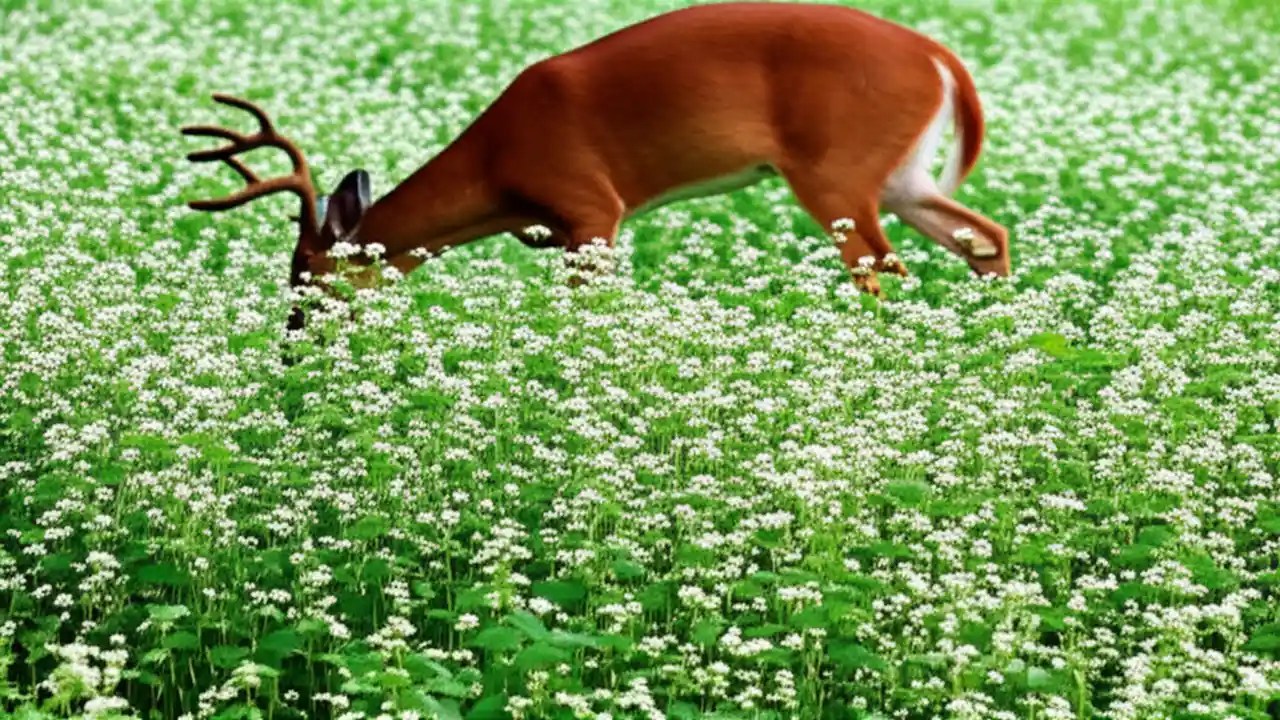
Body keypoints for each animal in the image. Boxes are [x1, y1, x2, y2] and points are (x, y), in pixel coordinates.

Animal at [182, 2, 1009, 332]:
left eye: (306, 275)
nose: (293, 345)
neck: (501, 169)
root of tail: (940, 59)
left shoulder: (590, 207)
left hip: (836, 173)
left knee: (884, 265)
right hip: (902, 176)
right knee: (984, 236)